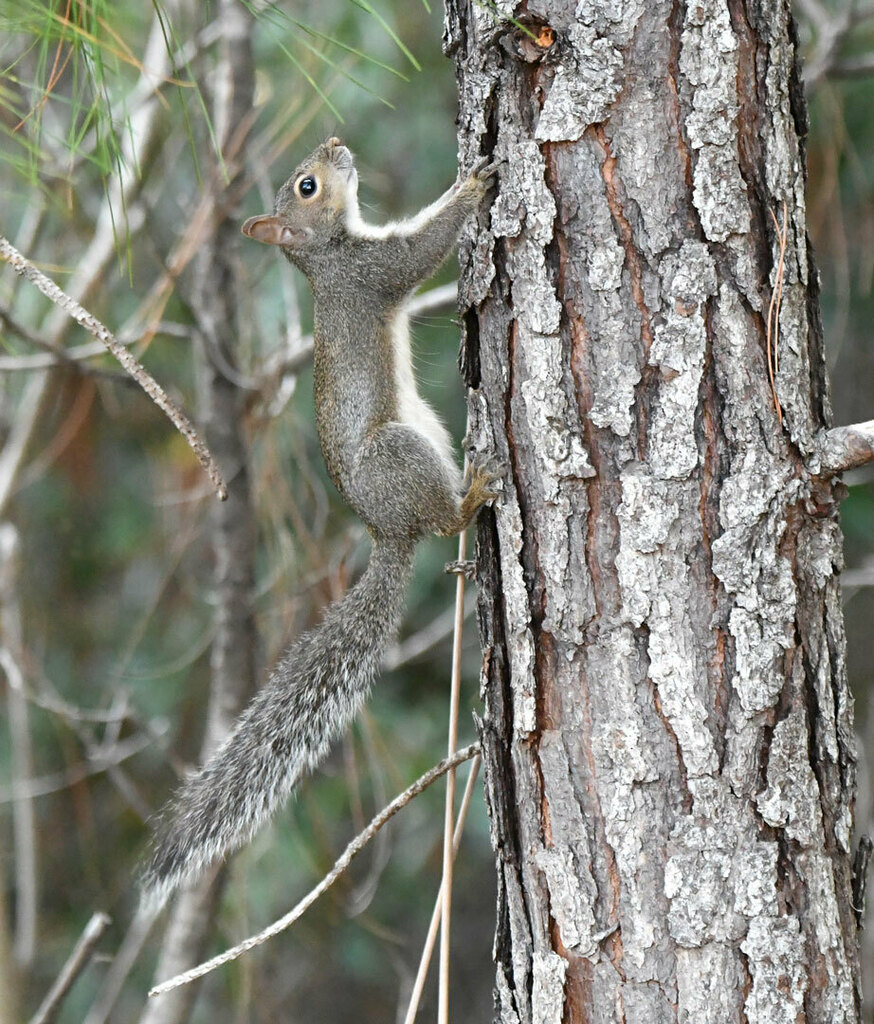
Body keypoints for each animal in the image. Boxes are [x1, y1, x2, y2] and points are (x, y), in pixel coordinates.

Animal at [140, 137, 498, 908]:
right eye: (308, 186)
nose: (336, 145)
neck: (326, 254)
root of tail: (388, 532)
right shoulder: (371, 273)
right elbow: (421, 250)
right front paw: (472, 187)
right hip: (399, 454)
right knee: (442, 521)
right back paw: (472, 497)